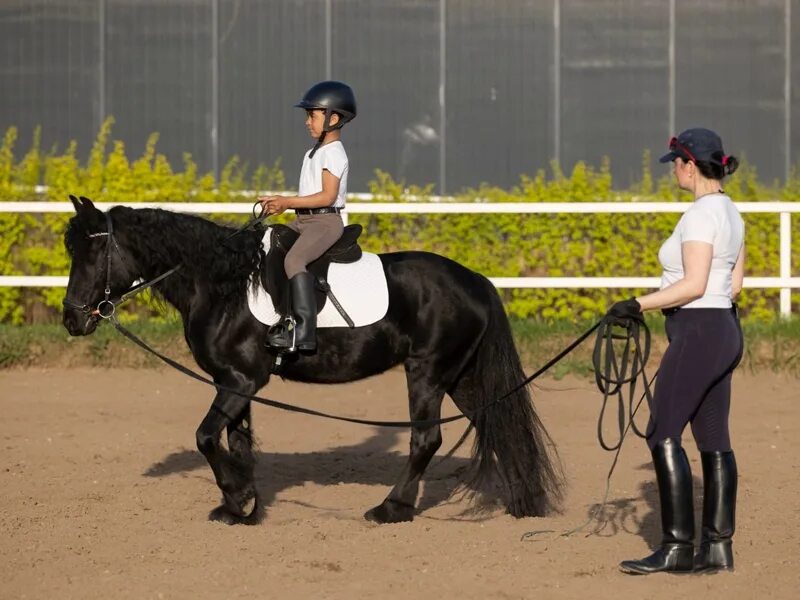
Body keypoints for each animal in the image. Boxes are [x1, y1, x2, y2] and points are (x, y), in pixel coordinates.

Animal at [62, 198, 564, 524]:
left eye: (95, 249)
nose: (72, 319)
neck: (222, 284)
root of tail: (476, 280)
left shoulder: (241, 381)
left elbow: (206, 437)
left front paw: (238, 496)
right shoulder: (234, 382)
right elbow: (236, 442)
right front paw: (240, 507)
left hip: (427, 372)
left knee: (428, 439)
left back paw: (391, 509)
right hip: (460, 377)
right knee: (497, 423)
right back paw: (524, 502)